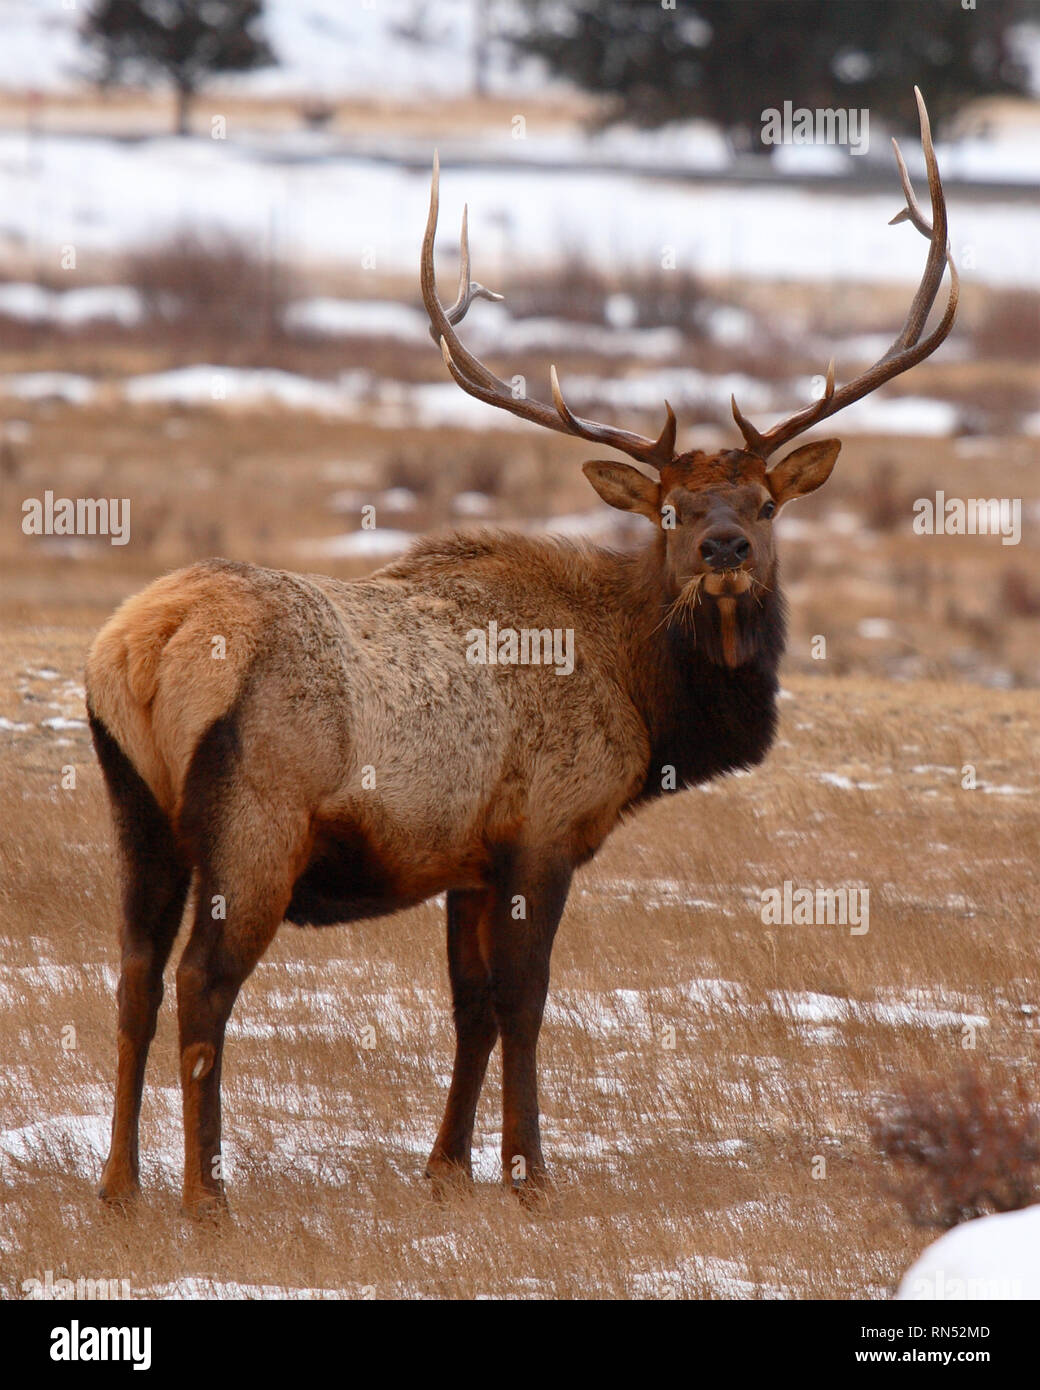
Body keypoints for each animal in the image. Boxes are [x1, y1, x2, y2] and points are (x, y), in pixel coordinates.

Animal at [86, 89, 957, 1217]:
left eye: (764, 503)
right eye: (672, 508)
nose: (723, 550)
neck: (647, 703)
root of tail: (145, 649)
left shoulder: (466, 852)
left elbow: (466, 1006)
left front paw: (447, 1164)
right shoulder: (543, 830)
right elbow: (524, 1000)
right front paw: (531, 1171)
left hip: (134, 806)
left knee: (134, 973)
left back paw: (116, 1184)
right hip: (254, 817)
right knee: (203, 983)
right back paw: (207, 1197)